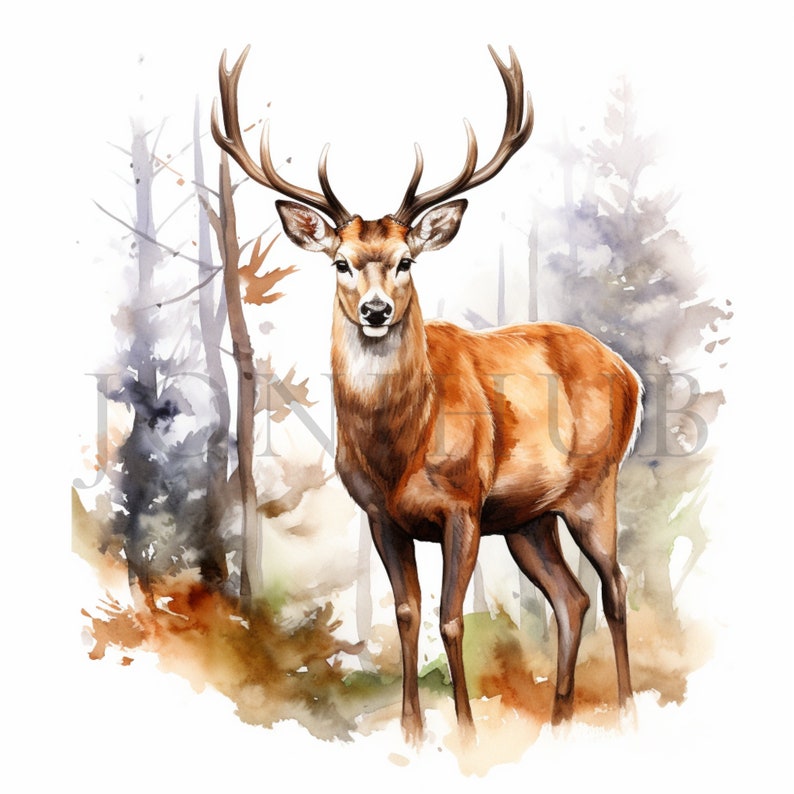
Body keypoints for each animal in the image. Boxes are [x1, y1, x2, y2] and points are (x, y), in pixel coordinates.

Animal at [212, 44, 643, 743]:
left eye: (406, 260)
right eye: (341, 262)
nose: (377, 311)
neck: (398, 450)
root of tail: (630, 373)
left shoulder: (462, 504)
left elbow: (450, 617)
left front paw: (464, 731)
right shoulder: (380, 514)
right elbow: (407, 614)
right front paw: (413, 732)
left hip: (593, 486)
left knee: (616, 588)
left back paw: (627, 713)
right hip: (527, 518)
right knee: (570, 598)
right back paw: (559, 720)